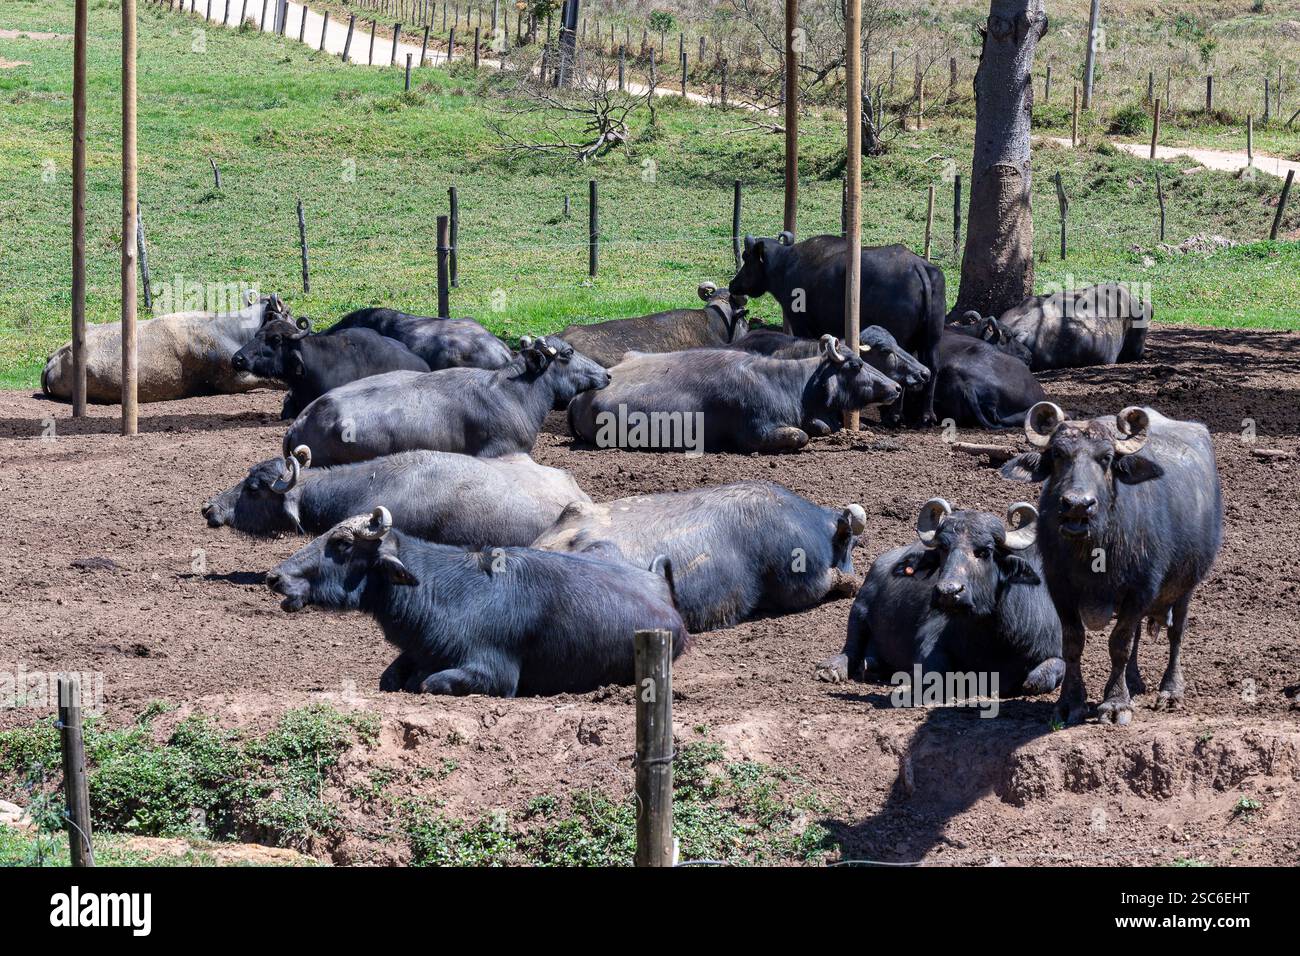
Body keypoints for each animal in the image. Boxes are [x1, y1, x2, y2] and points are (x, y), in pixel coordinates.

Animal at [265, 507, 690, 697]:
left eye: (341, 543)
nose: (276, 577)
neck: (449, 593)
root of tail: (661, 586)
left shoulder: (493, 675)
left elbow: (428, 683)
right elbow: (391, 679)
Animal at [566, 335, 901, 454]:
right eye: (856, 365)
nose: (897, 388)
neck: (785, 384)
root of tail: (580, 397)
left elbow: (822, 427)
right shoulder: (758, 432)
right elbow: (801, 436)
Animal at [727, 232, 945, 425]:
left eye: (746, 257)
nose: (733, 284)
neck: (786, 264)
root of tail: (918, 266)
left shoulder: (800, 323)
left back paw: (894, 415)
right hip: (933, 338)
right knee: (933, 367)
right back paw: (927, 415)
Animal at [1000, 402, 1223, 725]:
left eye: (1106, 458)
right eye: (1058, 455)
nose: (1077, 505)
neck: (1093, 550)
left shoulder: (1140, 588)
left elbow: (1119, 643)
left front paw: (1116, 704)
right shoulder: (1060, 589)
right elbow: (1073, 643)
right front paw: (1070, 703)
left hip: (1187, 584)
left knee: (1176, 632)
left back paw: (1170, 691)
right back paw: (1133, 681)